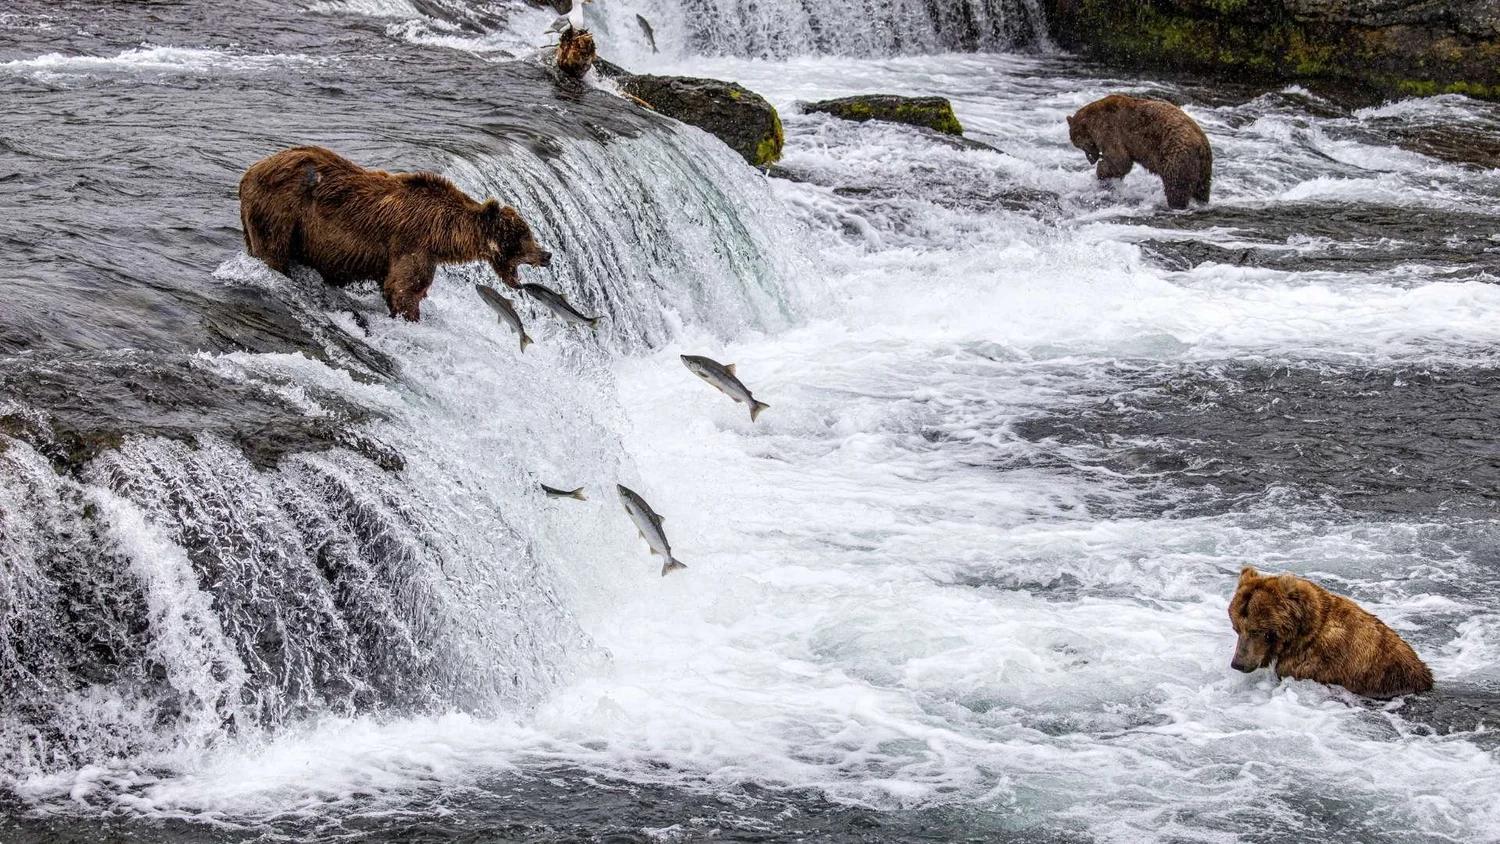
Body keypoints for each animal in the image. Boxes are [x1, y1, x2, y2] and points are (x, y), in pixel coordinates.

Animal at [238, 146, 551, 321]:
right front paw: (410, 316)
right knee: (273, 252)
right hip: (280, 210)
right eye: (525, 235)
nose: (547, 254)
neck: (445, 233)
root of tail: (249, 172)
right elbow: (404, 288)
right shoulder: (413, 242)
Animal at [1067, 94, 1212, 211]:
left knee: (1176, 187)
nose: (1091, 160)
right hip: (1203, 168)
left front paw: (1101, 170)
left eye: (1080, 146)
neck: (1092, 121)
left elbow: (1120, 161)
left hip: (1175, 156)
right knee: (1202, 189)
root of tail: (1201, 144)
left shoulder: (1110, 130)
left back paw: (1175, 205)